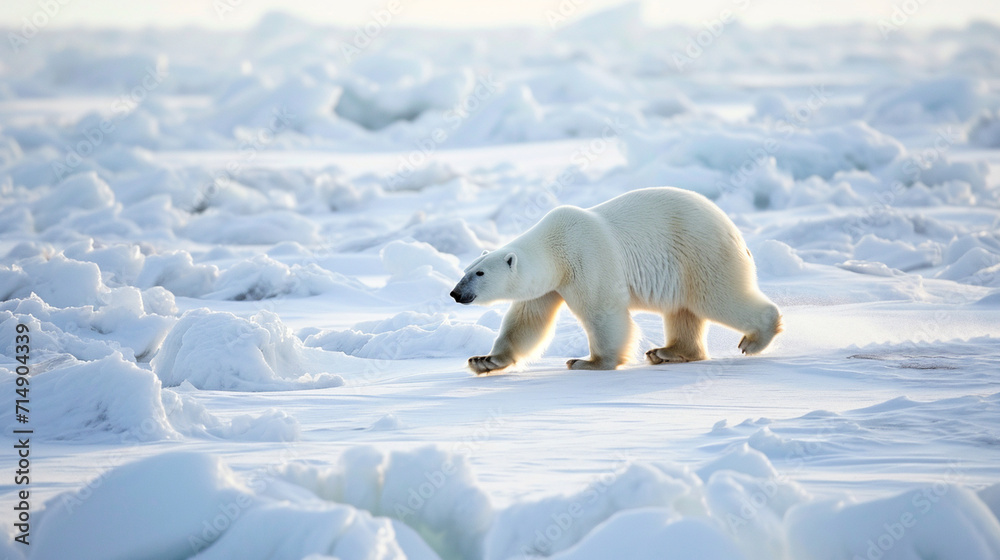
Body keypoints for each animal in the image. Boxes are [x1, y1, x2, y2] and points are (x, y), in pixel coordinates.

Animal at [450, 186, 782, 374]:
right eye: (466, 269)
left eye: (479, 273)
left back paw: (754, 339)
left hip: (701, 251)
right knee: (683, 310)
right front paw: (484, 360)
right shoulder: (547, 285)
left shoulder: (586, 257)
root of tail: (733, 230)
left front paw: (588, 362)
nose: (455, 293)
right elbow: (527, 320)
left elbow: (602, 312)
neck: (555, 244)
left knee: (717, 296)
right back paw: (666, 352)